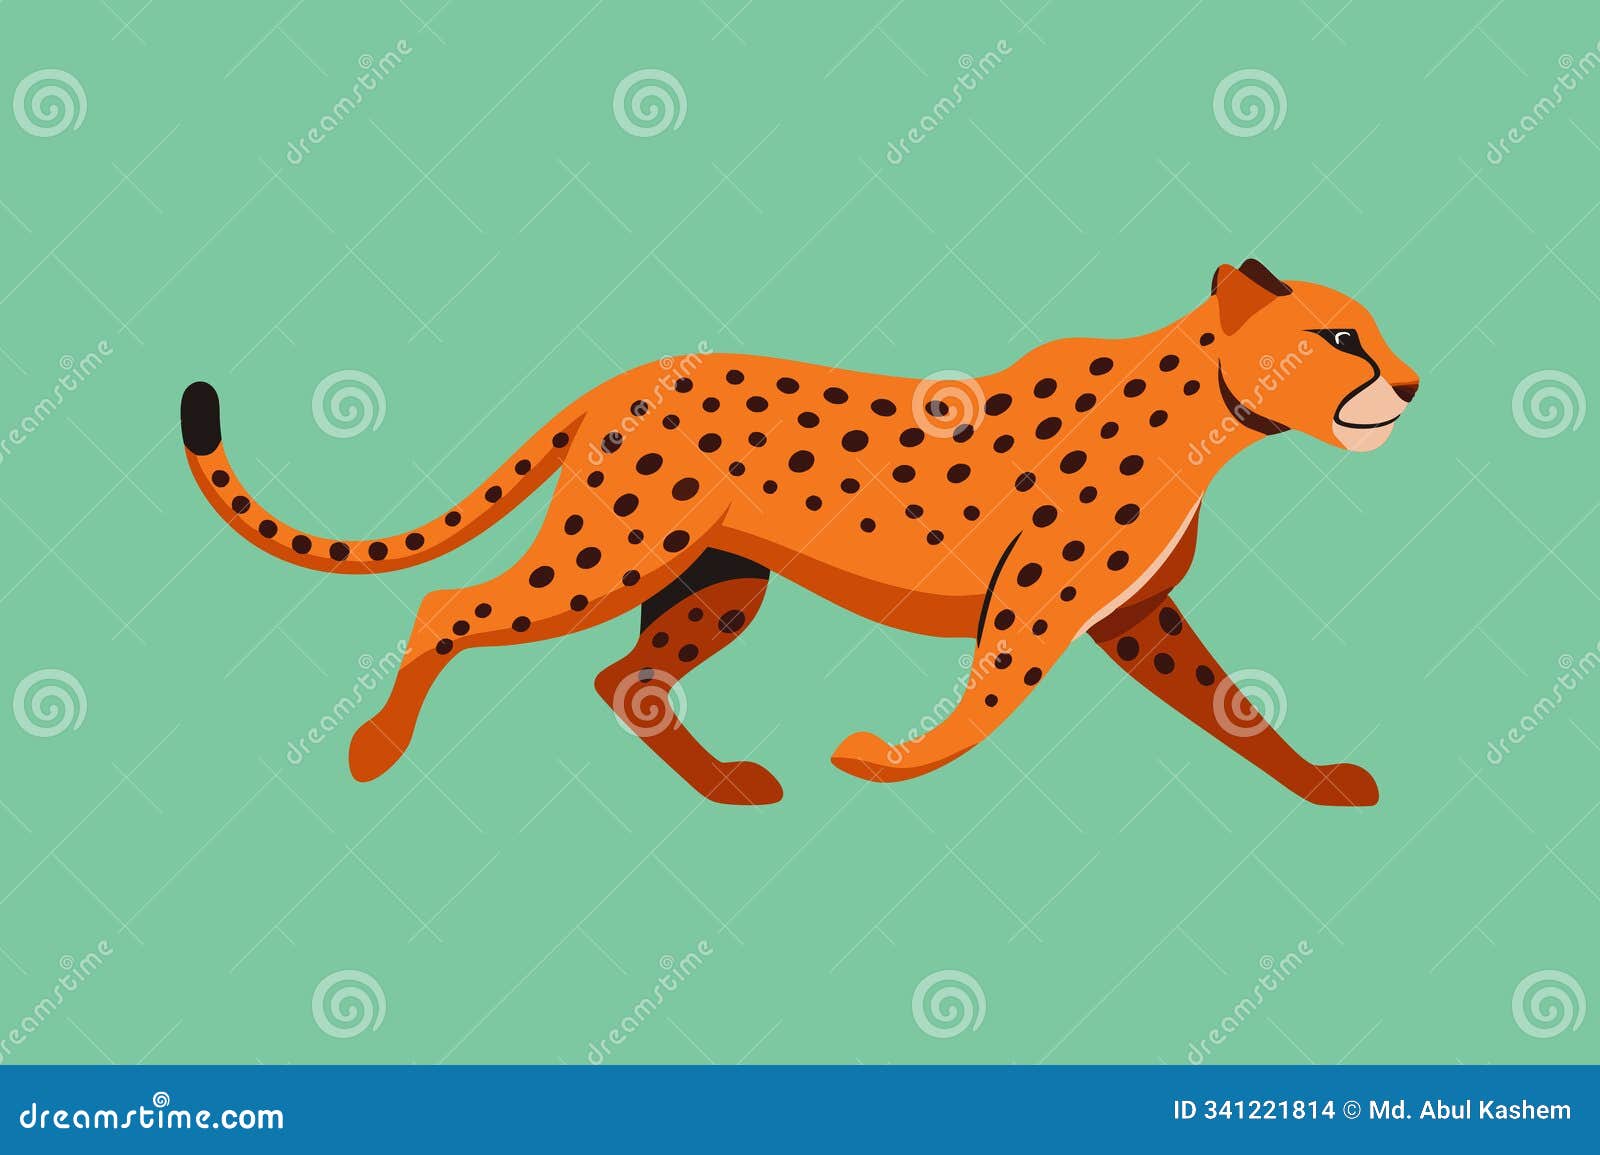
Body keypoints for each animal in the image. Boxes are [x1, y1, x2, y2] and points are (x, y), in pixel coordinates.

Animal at [180, 258, 1418, 807]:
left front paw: (1317, 784)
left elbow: (1233, 707)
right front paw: (885, 760)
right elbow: (987, 696)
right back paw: (373, 751)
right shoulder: (1038, 611)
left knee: (625, 677)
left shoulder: (1138, 617)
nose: (1409, 384)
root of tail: (624, 380)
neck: (1212, 412)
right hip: (611, 554)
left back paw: (725, 785)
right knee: (453, 605)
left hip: (715, 581)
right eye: (1339, 339)